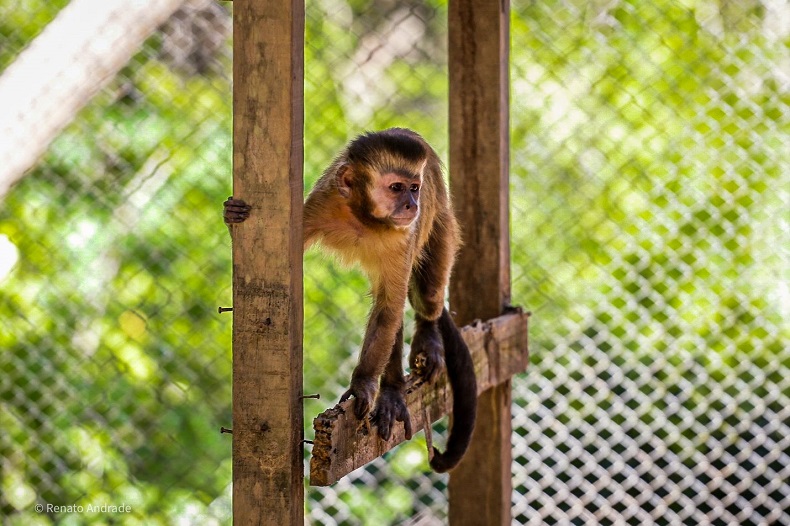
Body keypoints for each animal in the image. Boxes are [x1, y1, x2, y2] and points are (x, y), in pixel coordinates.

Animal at [224, 128, 476, 472]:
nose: (412, 204)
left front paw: (364, 384)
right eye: (396, 188)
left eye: (414, 188)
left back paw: (413, 359)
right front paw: (232, 217)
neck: (365, 218)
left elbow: (389, 308)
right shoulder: (323, 204)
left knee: (424, 299)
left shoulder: (404, 233)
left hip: (441, 226)